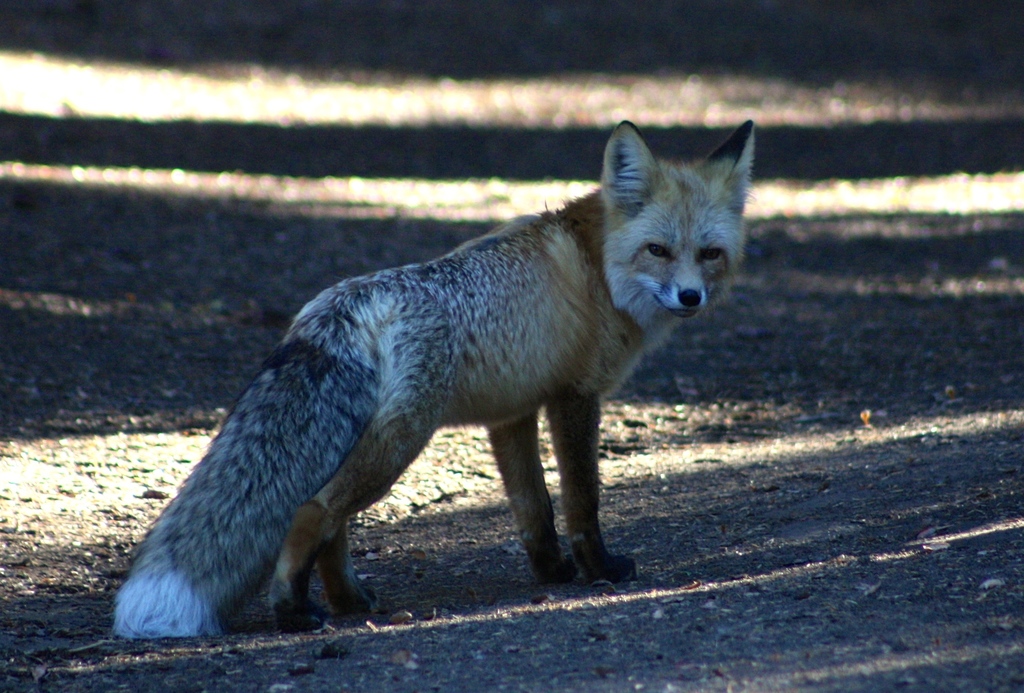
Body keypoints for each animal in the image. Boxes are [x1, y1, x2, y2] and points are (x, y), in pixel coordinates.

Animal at [113, 120, 754, 638]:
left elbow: (534, 509)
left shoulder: (513, 411)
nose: (691, 297)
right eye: (658, 250)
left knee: (332, 523)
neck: (599, 268)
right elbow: (581, 500)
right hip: (402, 441)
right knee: (313, 511)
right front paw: (599, 570)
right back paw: (294, 612)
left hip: (377, 442)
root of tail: (345, 303)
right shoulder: (575, 397)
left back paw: (349, 601)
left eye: (710, 254)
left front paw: (551, 571)